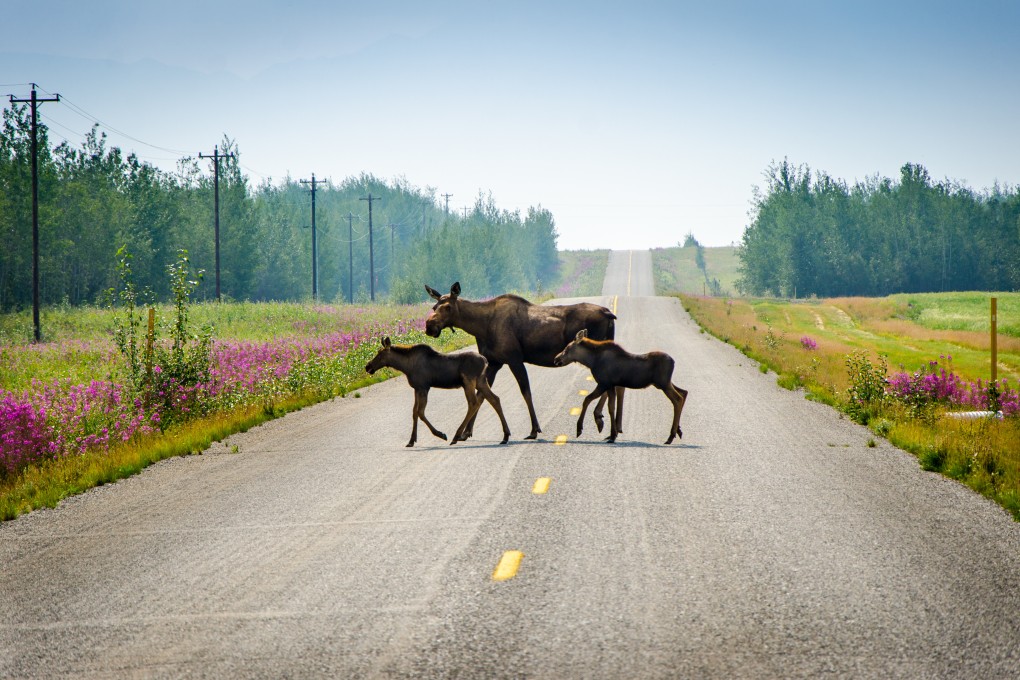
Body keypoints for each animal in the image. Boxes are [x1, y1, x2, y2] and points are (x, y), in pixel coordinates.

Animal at [365, 337, 511, 447]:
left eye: (380, 353)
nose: (368, 366)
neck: (405, 366)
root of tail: (485, 361)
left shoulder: (423, 387)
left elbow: (420, 412)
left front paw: (440, 434)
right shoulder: (416, 388)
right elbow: (414, 412)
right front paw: (411, 440)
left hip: (468, 382)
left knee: (473, 403)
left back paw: (456, 436)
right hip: (481, 381)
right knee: (494, 399)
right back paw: (505, 435)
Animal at [425, 282, 622, 440]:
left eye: (448, 307)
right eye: (434, 307)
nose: (429, 326)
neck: (481, 327)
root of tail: (609, 313)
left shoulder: (514, 359)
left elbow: (525, 392)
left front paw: (534, 429)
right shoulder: (493, 363)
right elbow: (482, 396)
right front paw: (466, 432)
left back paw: (600, 418)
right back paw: (610, 422)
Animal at [553, 329, 688, 445]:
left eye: (567, 348)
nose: (556, 359)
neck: (591, 361)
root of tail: (673, 362)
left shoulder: (604, 383)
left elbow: (588, 400)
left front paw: (580, 428)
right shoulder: (610, 385)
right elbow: (611, 407)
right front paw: (612, 433)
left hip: (663, 384)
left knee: (678, 399)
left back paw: (670, 436)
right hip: (664, 383)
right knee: (684, 392)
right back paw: (678, 431)